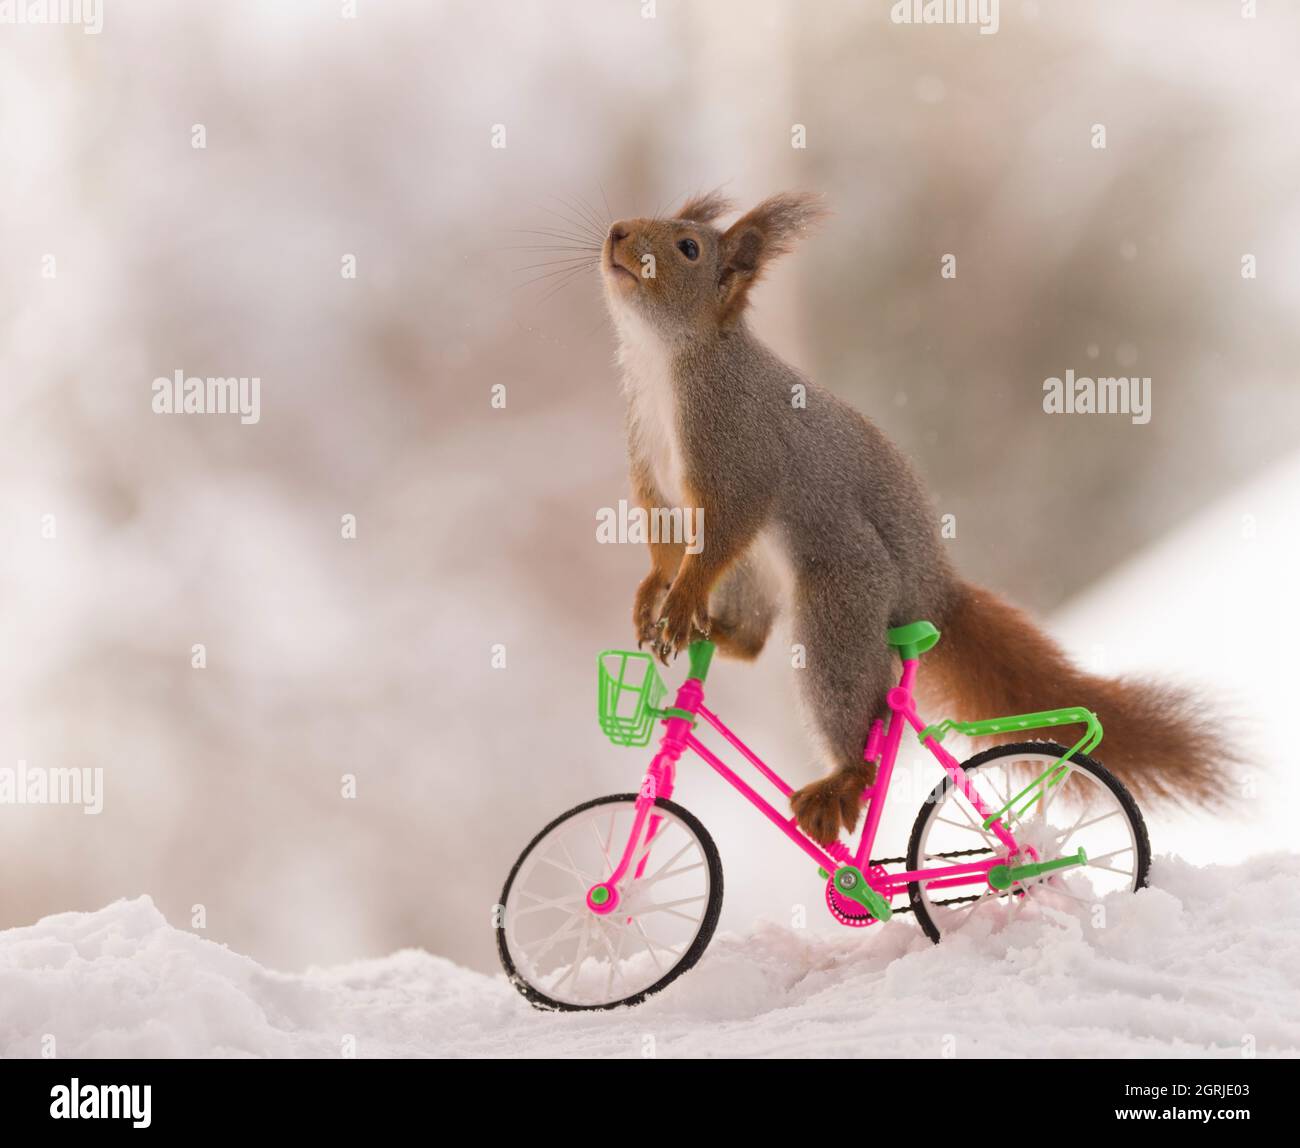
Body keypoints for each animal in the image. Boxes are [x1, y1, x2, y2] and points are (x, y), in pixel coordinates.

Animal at [600, 188, 1221, 845]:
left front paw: (681, 600)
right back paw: (713, 632)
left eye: (688, 248)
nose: (616, 232)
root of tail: (932, 590)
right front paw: (653, 596)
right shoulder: (652, 471)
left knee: (855, 710)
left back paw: (838, 780)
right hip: (757, 574)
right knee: (753, 638)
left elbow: (722, 528)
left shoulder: (738, 451)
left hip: (842, 603)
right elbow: (663, 539)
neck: (662, 362)